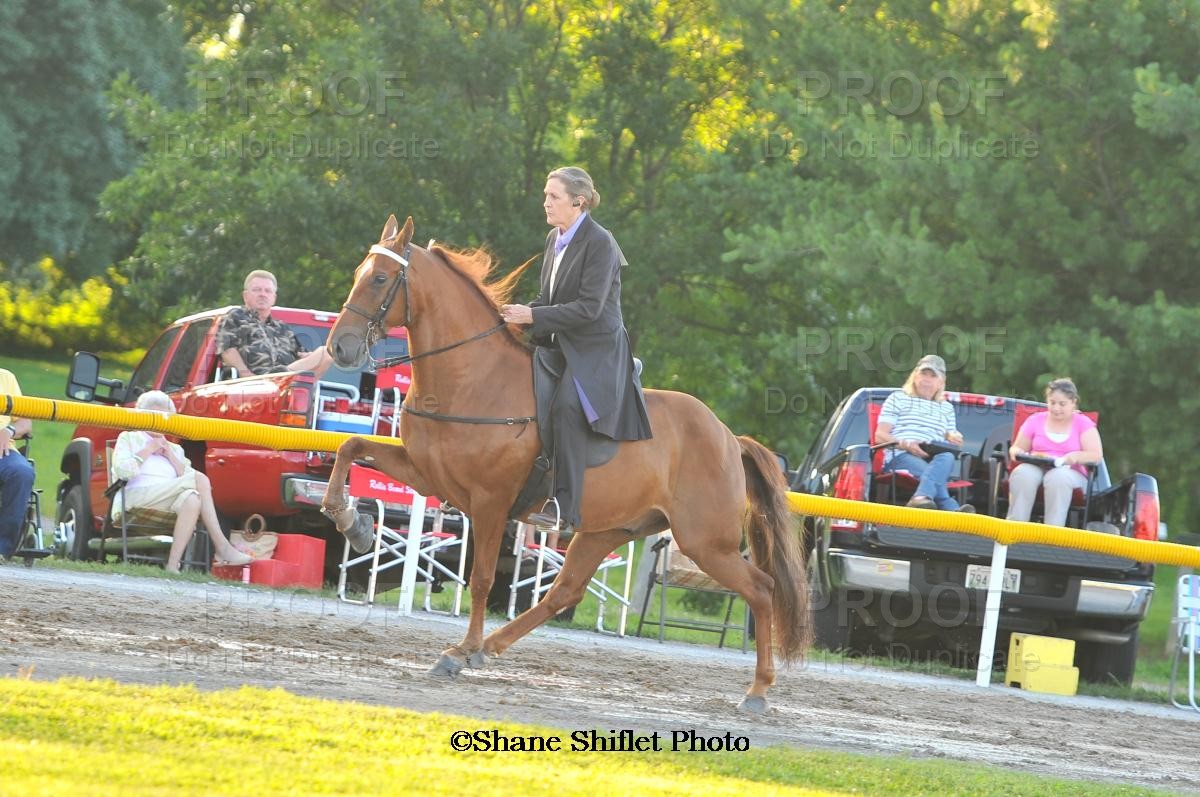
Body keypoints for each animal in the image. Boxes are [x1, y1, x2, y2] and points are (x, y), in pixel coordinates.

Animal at [321, 214, 811, 712]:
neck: (474, 379)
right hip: (607, 531)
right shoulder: (426, 475)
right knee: (564, 591)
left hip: (704, 543)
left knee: (761, 590)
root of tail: (729, 438)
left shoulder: (490, 502)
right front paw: (353, 524)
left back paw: (757, 691)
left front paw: (460, 648)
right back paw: (489, 648)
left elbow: (480, 578)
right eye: (361, 272)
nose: (340, 348)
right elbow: (349, 449)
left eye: (380, 279)